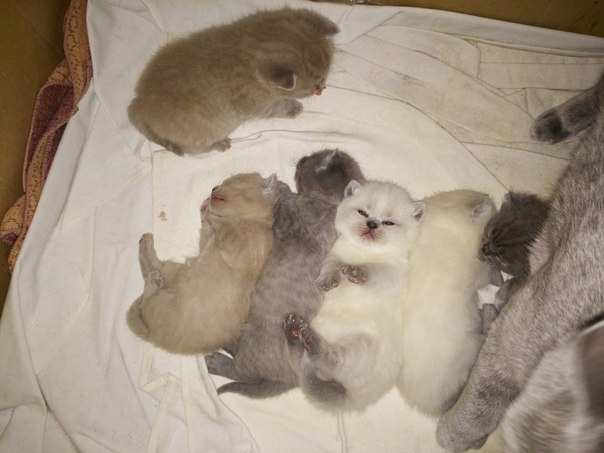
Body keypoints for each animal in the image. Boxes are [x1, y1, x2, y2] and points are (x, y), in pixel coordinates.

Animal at [126, 173, 281, 354]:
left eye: (227, 182)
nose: (213, 188)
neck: (252, 222)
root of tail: (153, 336)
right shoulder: (207, 242)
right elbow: (207, 231)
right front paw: (204, 210)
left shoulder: (239, 245)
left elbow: (225, 228)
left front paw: (211, 214)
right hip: (177, 271)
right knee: (151, 273)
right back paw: (146, 247)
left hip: (167, 291)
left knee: (146, 300)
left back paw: (152, 278)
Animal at [128, 8, 338, 155]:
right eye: (312, 86)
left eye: (324, 78)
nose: (322, 87)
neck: (245, 48)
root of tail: (139, 103)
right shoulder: (253, 105)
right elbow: (276, 106)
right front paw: (292, 107)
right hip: (202, 135)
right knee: (192, 150)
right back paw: (218, 143)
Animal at [205, 149, 365, 397]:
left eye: (302, 167)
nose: (299, 160)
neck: (329, 202)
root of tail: (290, 379)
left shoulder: (290, 215)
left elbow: (281, 201)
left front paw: (279, 186)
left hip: (251, 343)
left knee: (243, 372)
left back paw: (217, 362)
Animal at [285, 179, 424, 412]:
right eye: (362, 212)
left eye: (388, 222)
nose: (372, 224)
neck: (363, 251)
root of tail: (353, 399)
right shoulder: (333, 255)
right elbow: (331, 267)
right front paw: (328, 282)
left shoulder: (391, 276)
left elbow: (371, 271)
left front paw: (354, 272)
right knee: (301, 361)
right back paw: (294, 330)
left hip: (359, 345)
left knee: (329, 359)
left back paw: (307, 338)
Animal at [397, 190, 496, 417]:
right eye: (489, 229)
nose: (489, 250)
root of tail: (427, 407)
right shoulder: (477, 272)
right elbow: (486, 273)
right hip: (470, 343)